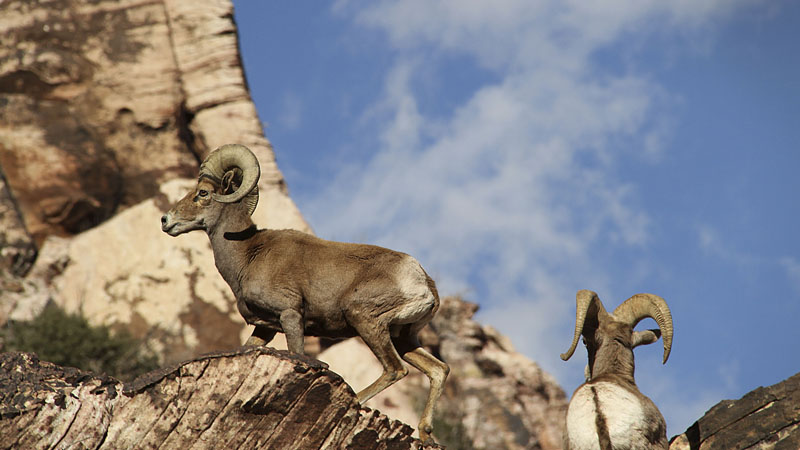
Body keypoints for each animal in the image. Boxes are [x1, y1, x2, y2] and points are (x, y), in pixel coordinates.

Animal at [160, 144, 449, 443]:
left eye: (203, 193)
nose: (165, 220)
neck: (248, 255)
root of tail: (423, 280)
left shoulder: (290, 316)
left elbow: (297, 351)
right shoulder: (264, 329)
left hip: (365, 320)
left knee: (395, 370)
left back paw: (358, 400)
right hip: (403, 338)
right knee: (438, 369)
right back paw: (426, 433)